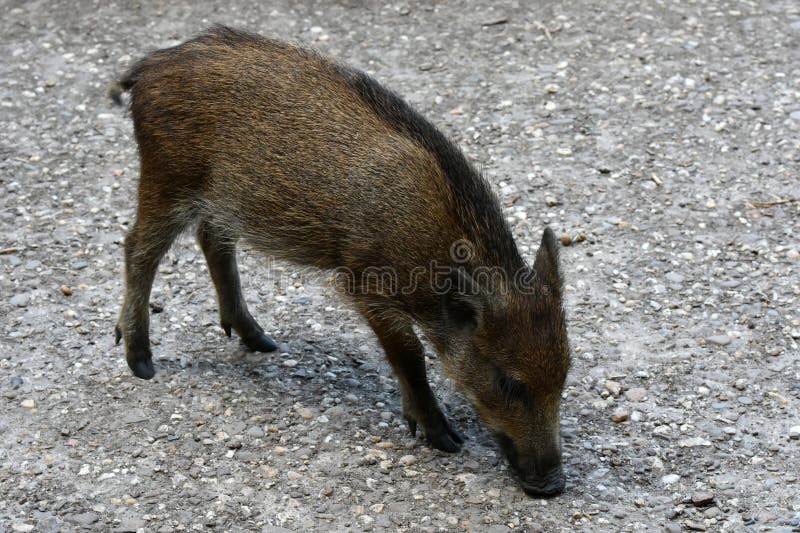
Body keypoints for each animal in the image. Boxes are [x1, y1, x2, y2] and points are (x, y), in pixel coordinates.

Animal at [111, 25, 570, 496]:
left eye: (565, 374)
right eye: (509, 382)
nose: (553, 485)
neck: (434, 249)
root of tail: (147, 68)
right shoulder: (365, 282)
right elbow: (410, 355)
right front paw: (442, 437)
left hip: (220, 200)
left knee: (211, 241)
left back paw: (261, 341)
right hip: (167, 179)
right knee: (138, 250)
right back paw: (141, 362)